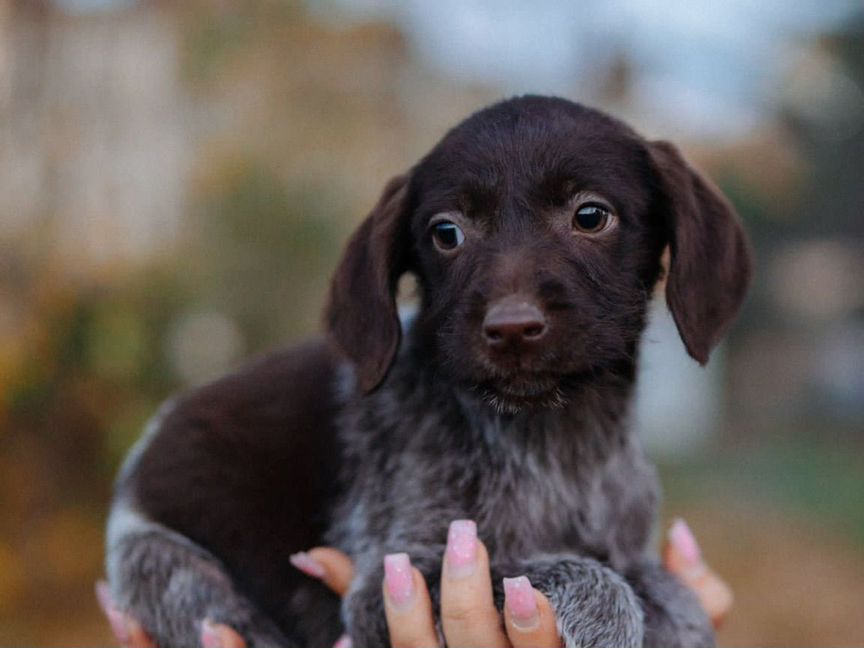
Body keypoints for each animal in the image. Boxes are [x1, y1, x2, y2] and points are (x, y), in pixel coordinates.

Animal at [106, 96, 748, 648]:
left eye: (591, 216)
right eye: (446, 233)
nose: (512, 328)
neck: (556, 438)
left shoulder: (628, 549)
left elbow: (673, 596)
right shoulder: (398, 578)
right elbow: (589, 582)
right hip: (175, 576)